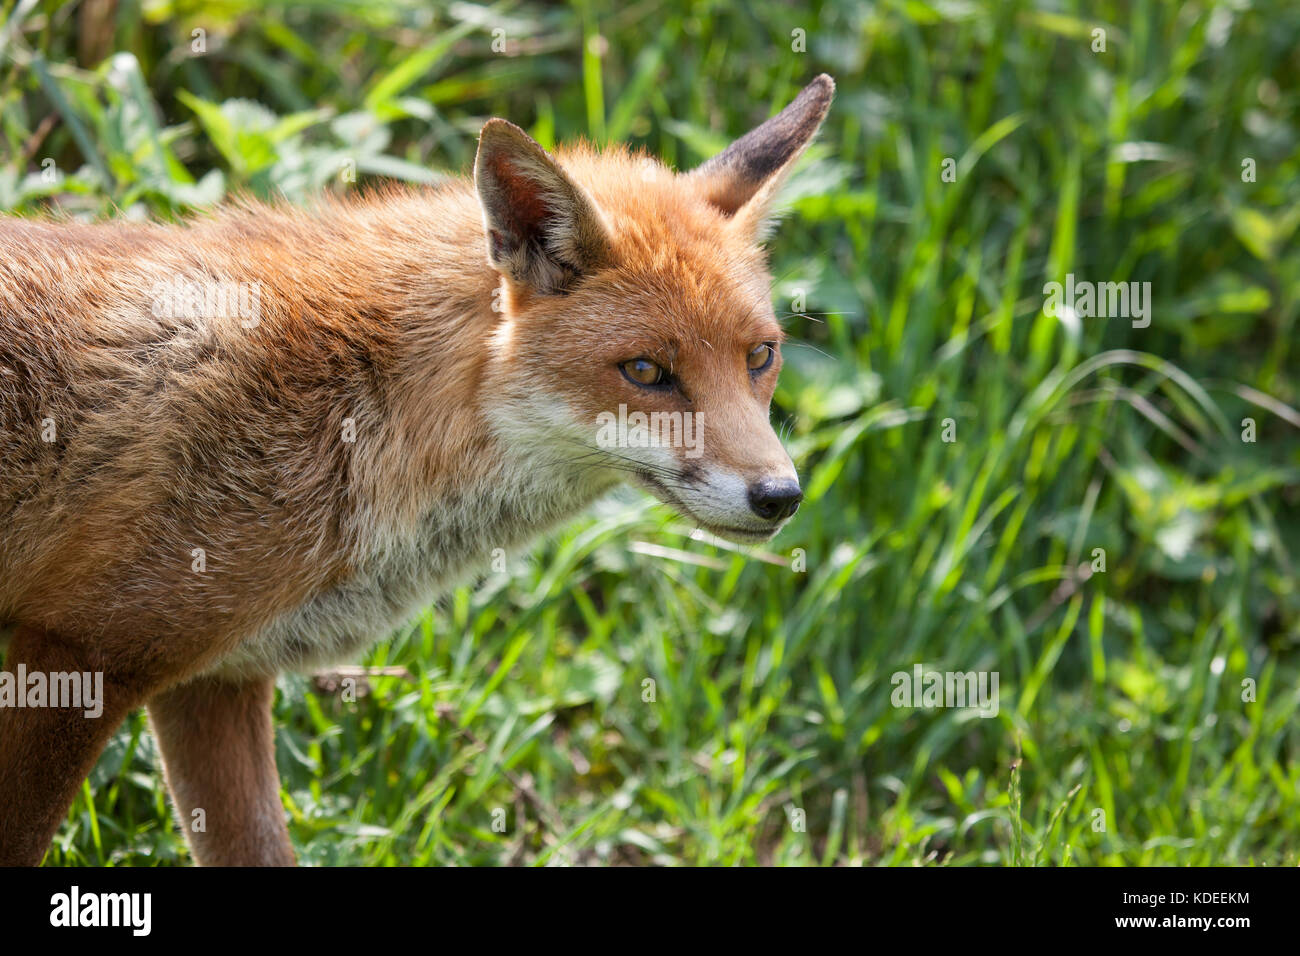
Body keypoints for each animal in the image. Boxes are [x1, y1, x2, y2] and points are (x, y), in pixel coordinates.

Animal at [0, 74, 834, 866]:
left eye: (760, 357)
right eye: (646, 371)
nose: (781, 497)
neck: (356, 408)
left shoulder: (219, 678)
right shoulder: (80, 653)